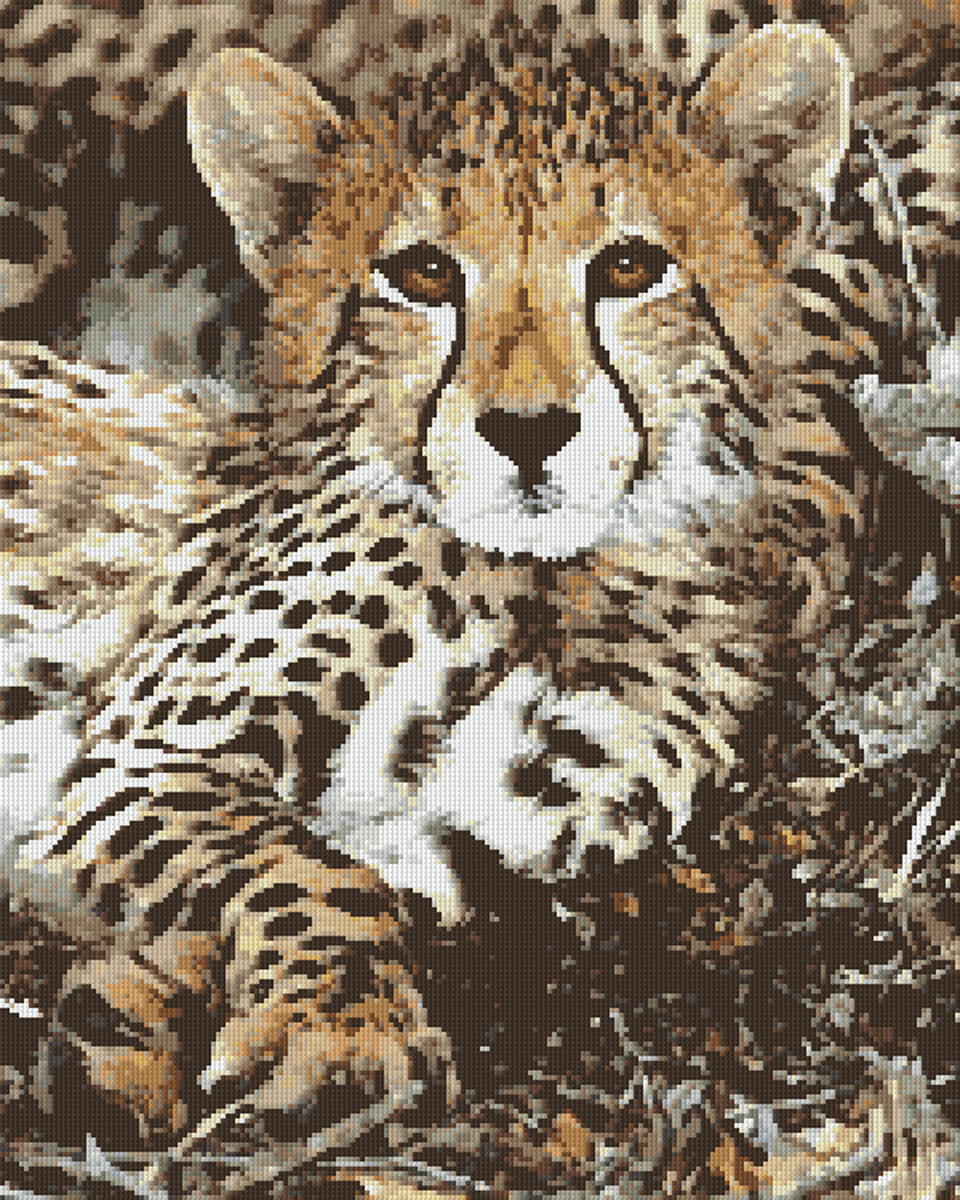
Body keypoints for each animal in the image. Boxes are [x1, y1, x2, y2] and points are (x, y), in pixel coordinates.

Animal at [2, 8, 960, 1196]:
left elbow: (381, 884)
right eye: (421, 274)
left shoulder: (481, 828)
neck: (571, 572)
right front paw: (339, 1033)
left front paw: (139, 1019)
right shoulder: (154, 754)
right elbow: (311, 872)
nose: (528, 429)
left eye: (630, 265)